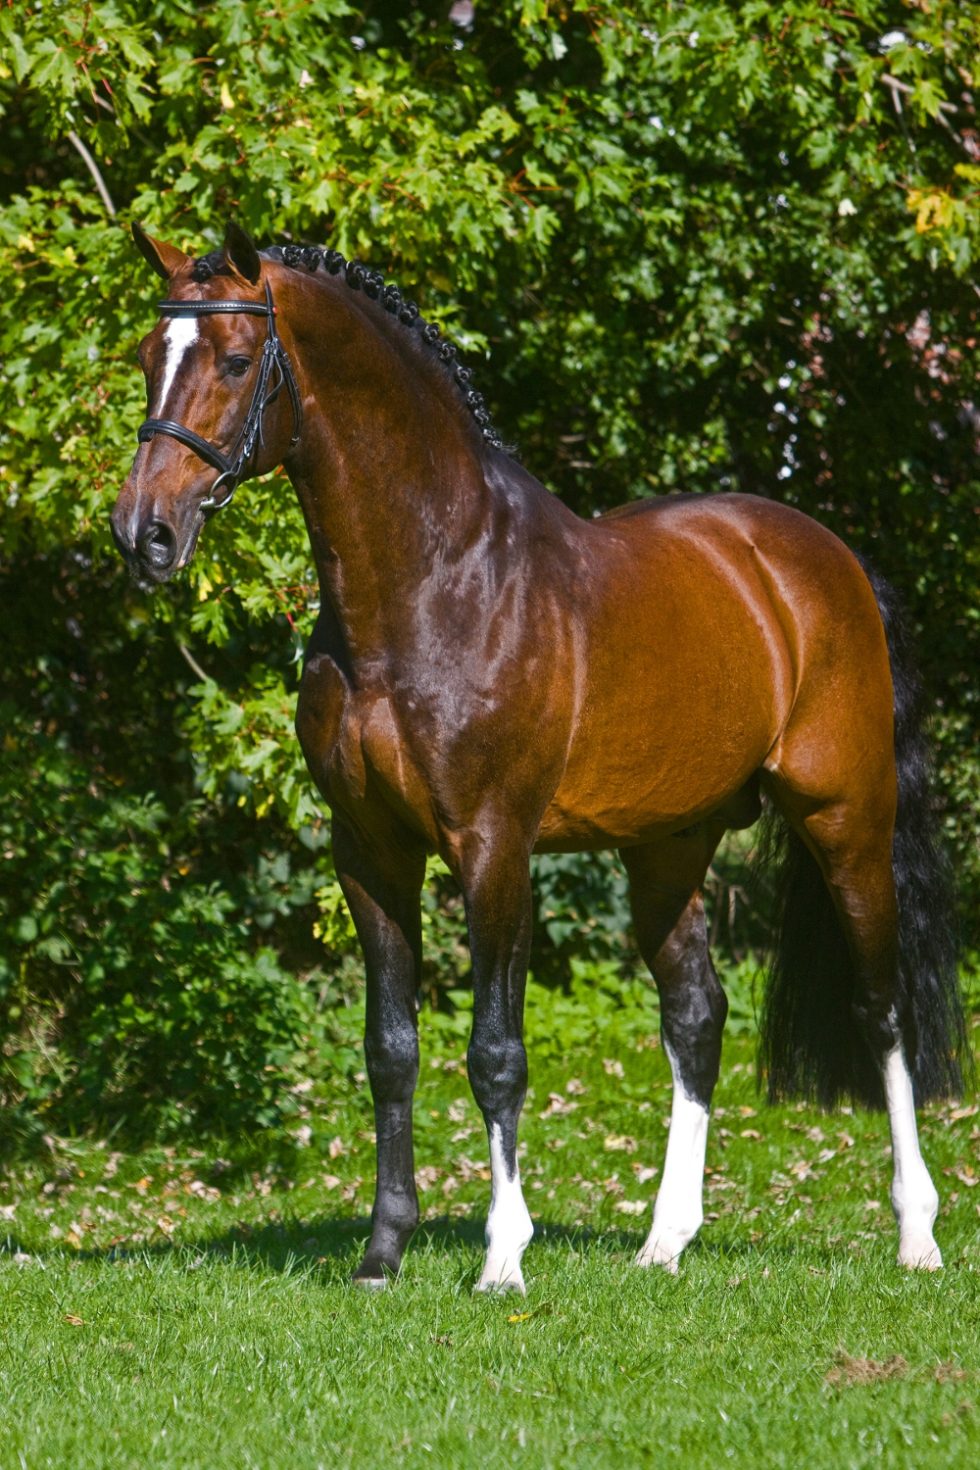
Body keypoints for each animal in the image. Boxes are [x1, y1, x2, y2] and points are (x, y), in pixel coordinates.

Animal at [111, 221, 966, 1292]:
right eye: (150, 357)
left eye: (232, 360)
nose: (143, 533)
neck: (436, 582)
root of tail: (831, 562)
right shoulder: (370, 852)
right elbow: (391, 1049)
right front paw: (382, 1252)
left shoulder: (493, 847)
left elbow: (495, 1054)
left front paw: (502, 1257)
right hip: (668, 846)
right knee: (697, 1015)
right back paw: (663, 1241)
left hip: (845, 820)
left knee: (882, 1009)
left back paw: (918, 1233)